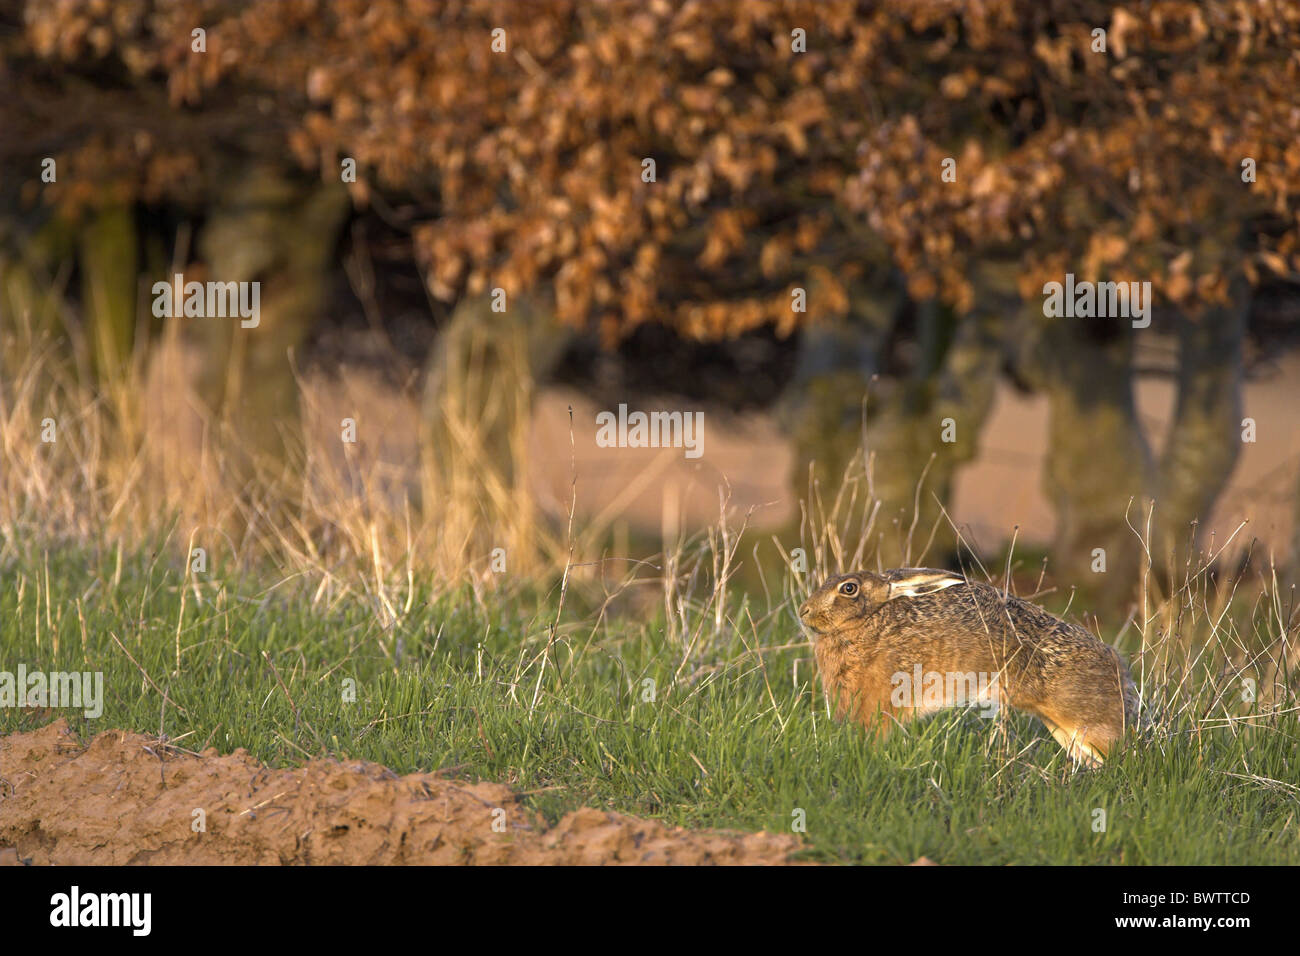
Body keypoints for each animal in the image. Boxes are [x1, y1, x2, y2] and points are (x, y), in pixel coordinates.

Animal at [797, 568, 1139, 767]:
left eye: (849, 588)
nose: (804, 611)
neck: (868, 622)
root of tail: (1115, 663)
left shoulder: (879, 705)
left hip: (1083, 719)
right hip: (1062, 728)